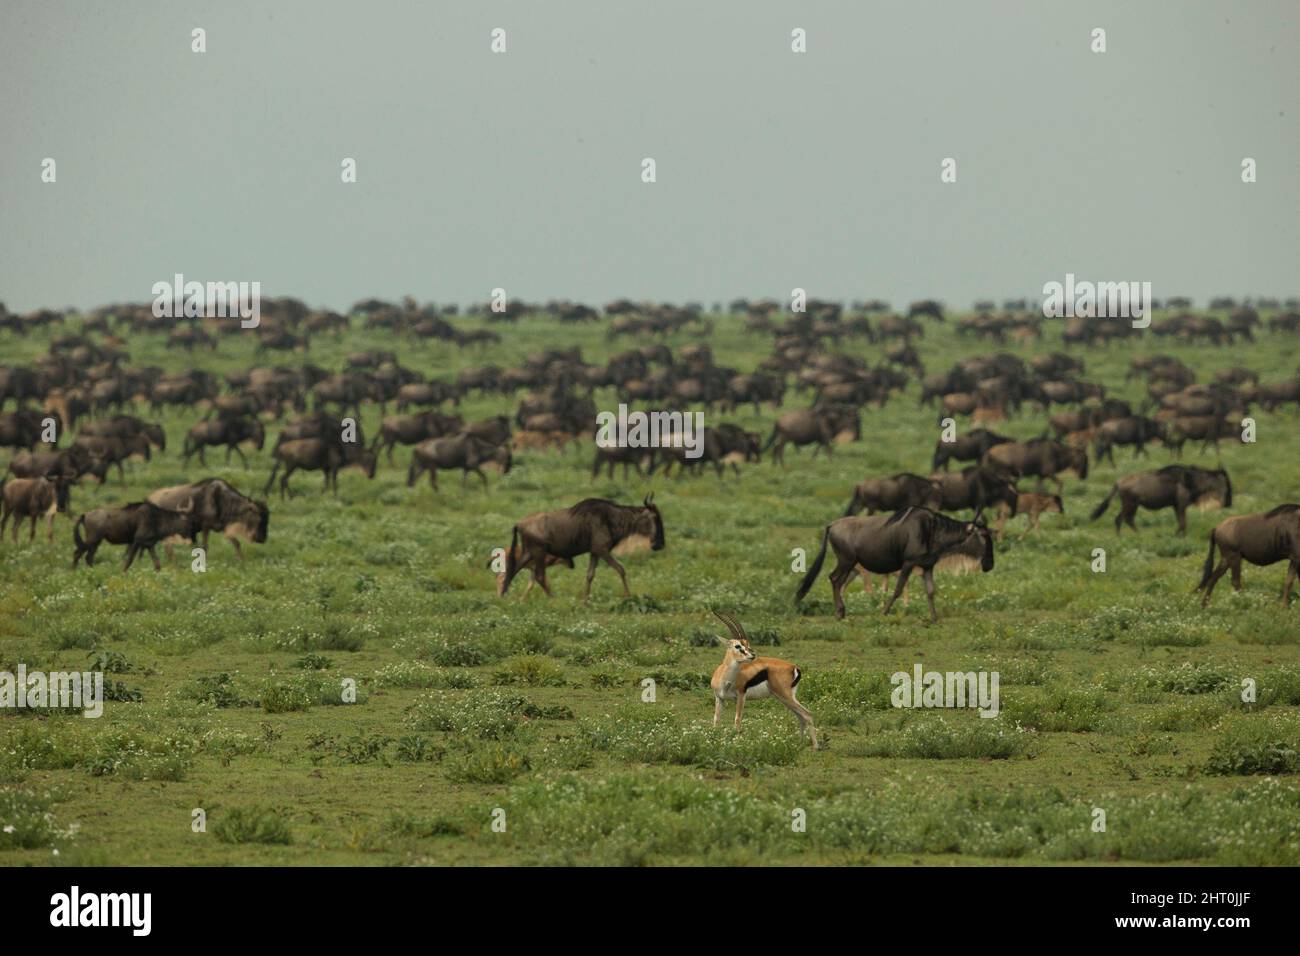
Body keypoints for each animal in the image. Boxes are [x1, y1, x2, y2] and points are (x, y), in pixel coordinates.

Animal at [709, 611, 819, 750]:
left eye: (747, 644)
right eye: (737, 646)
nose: (753, 655)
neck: (725, 679)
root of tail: (794, 667)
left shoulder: (741, 696)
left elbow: (737, 719)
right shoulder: (719, 698)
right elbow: (716, 719)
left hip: (785, 696)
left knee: (807, 714)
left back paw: (815, 747)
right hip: (786, 698)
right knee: (800, 716)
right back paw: (799, 744)